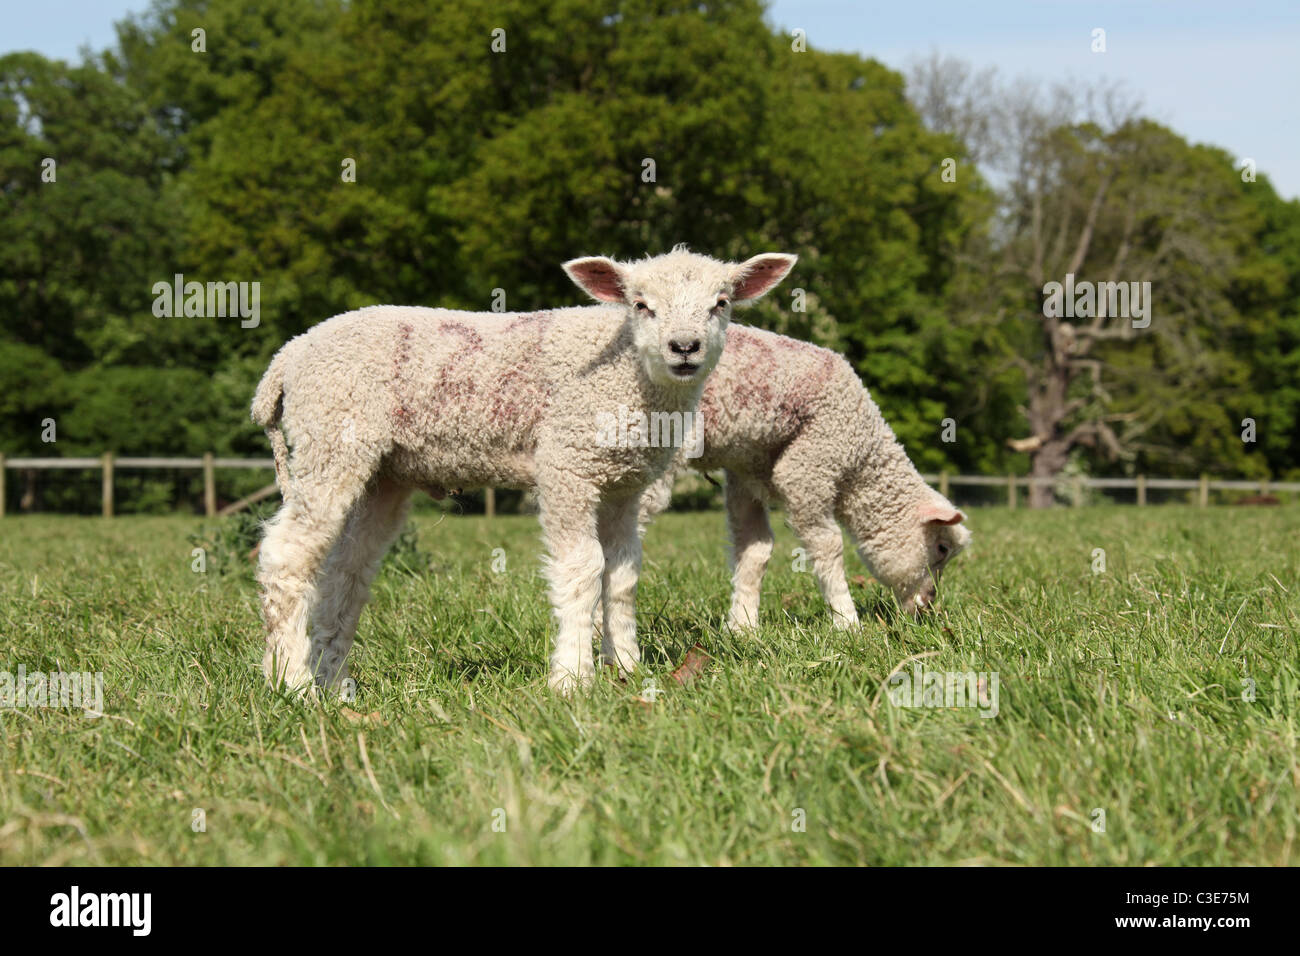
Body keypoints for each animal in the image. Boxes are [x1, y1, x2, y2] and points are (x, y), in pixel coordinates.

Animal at [250, 247, 797, 696]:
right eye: (641, 305)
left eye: (721, 303)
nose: (684, 347)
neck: (628, 374)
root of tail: (287, 357)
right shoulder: (567, 465)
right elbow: (583, 568)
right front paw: (572, 678)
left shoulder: (622, 484)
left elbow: (622, 574)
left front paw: (625, 667)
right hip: (331, 438)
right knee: (287, 556)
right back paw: (291, 683)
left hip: (383, 473)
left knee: (348, 570)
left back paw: (334, 681)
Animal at [636, 323, 970, 630]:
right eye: (942, 549)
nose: (928, 604)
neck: (859, 454)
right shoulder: (808, 466)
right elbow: (829, 545)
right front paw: (847, 623)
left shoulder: (746, 469)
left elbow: (755, 550)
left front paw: (743, 627)